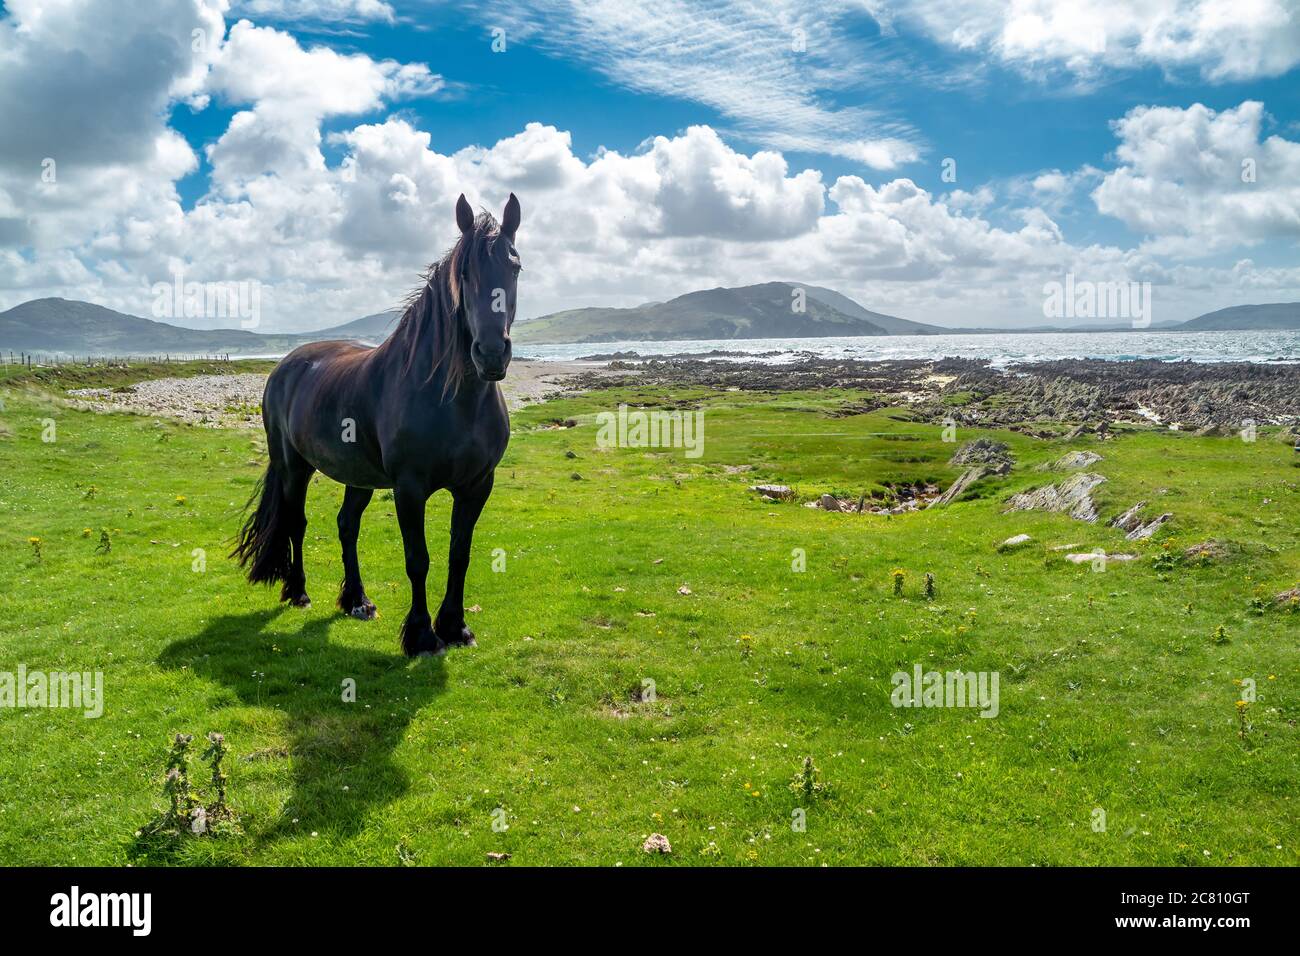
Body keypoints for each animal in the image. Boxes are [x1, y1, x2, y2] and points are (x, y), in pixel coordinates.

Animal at [232, 193, 522, 657]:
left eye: (515, 267)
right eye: (464, 273)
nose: (492, 353)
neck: (453, 399)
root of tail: (287, 365)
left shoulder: (477, 486)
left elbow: (459, 554)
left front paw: (455, 627)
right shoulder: (410, 488)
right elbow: (418, 559)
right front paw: (422, 635)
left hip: (358, 476)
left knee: (346, 526)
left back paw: (357, 601)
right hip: (294, 467)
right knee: (296, 522)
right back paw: (298, 592)